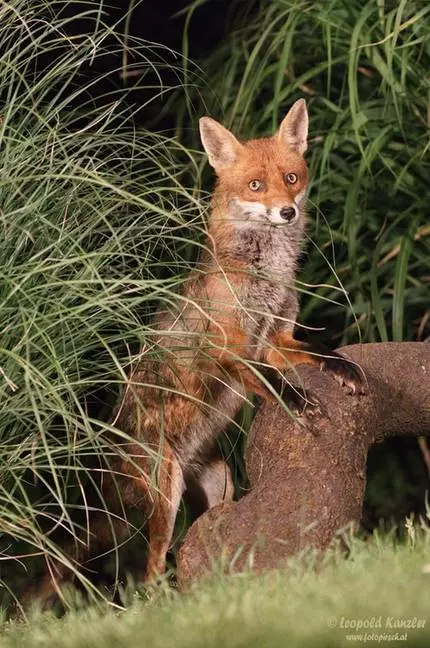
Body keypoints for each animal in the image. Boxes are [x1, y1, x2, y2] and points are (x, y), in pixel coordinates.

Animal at [26, 98, 362, 604]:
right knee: (145, 575)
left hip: (218, 479)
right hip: (165, 494)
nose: (286, 212)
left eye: (291, 177)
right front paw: (300, 405)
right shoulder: (234, 351)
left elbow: (322, 351)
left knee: (196, 537)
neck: (262, 275)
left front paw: (347, 371)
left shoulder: (275, 341)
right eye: (255, 186)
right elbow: (274, 386)